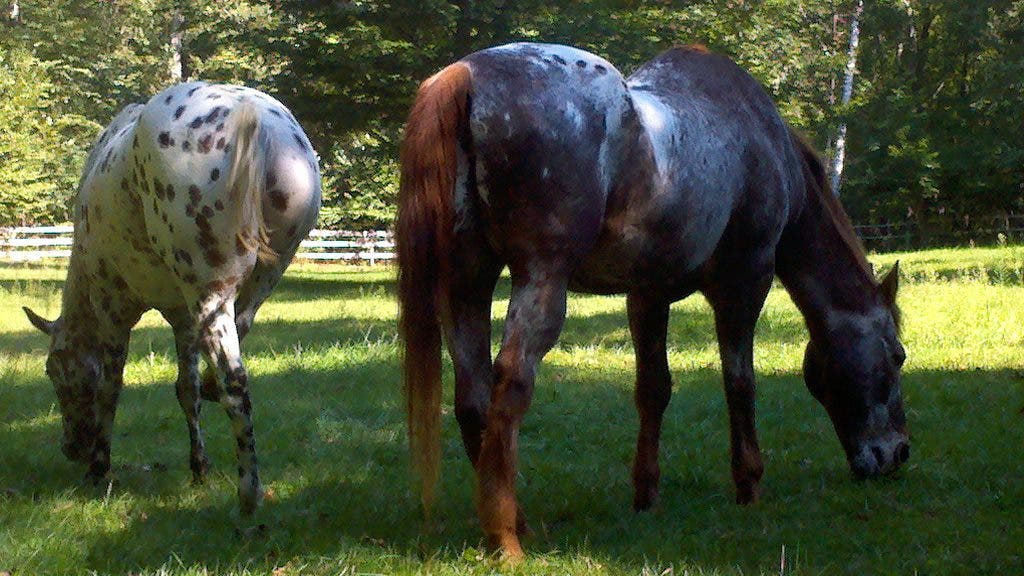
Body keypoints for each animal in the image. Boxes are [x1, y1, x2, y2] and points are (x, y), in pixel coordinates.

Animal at [23, 81, 321, 514]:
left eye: (52, 369)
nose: (72, 448)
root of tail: (256, 121)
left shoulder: (114, 311)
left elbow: (111, 387)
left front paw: (99, 468)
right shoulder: (182, 319)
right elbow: (186, 390)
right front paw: (199, 467)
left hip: (210, 294)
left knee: (234, 382)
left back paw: (249, 493)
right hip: (257, 282)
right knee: (234, 351)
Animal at [397, 43, 909, 559]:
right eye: (898, 355)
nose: (898, 454)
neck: (763, 141)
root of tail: (467, 75)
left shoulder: (647, 295)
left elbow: (653, 390)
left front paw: (646, 495)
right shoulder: (746, 281)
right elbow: (740, 383)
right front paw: (749, 485)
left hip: (467, 284)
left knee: (473, 397)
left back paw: (517, 522)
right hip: (539, 281)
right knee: (510, 385)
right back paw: (506, 538)